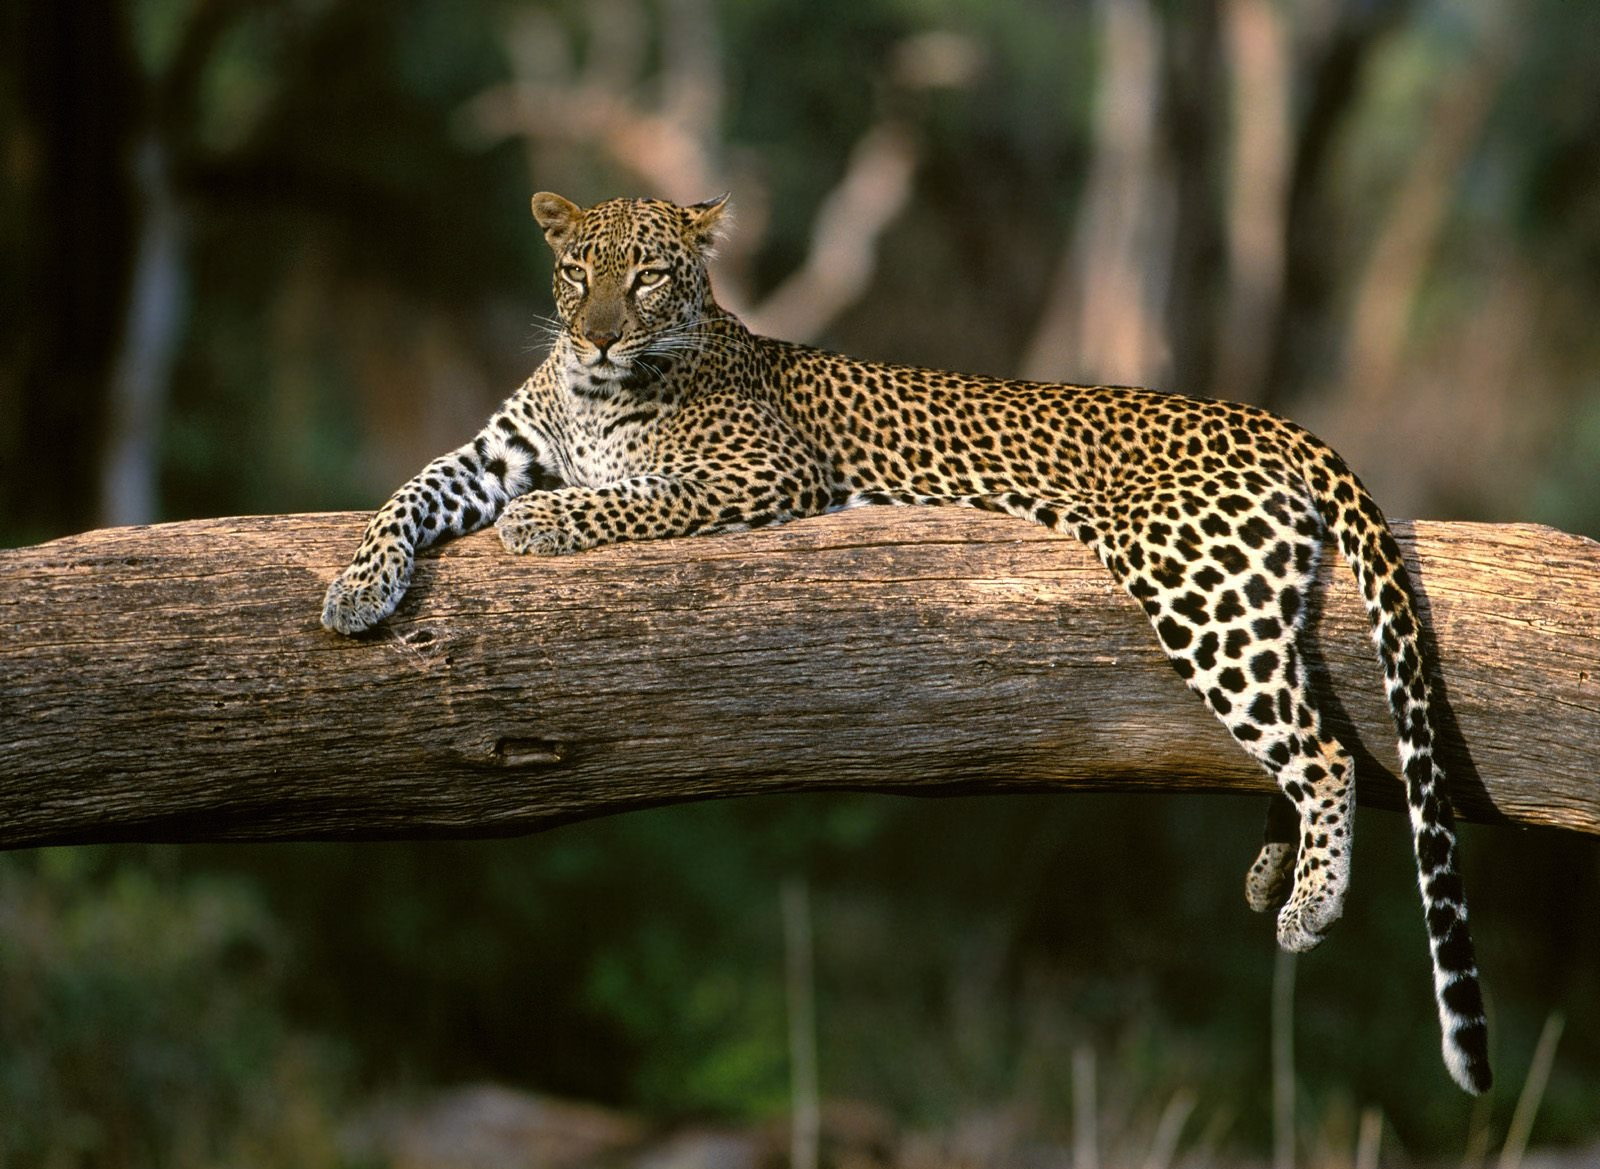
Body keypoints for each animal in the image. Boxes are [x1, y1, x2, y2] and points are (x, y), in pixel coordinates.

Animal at [322, 192, 1491, 1094]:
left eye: (648, 278)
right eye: (577, 272)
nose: (600, 333)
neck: (592, 388)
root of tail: (1269, 418)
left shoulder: (758, 474)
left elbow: (617, 499)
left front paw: (540, 523)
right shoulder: (490, 454)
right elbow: (408, 492)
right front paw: (354, 589)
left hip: (1193, 581)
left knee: (1324, 747)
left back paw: (1309, 903)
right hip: (1246, 594)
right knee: (1301, 722)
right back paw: (1268, 870)